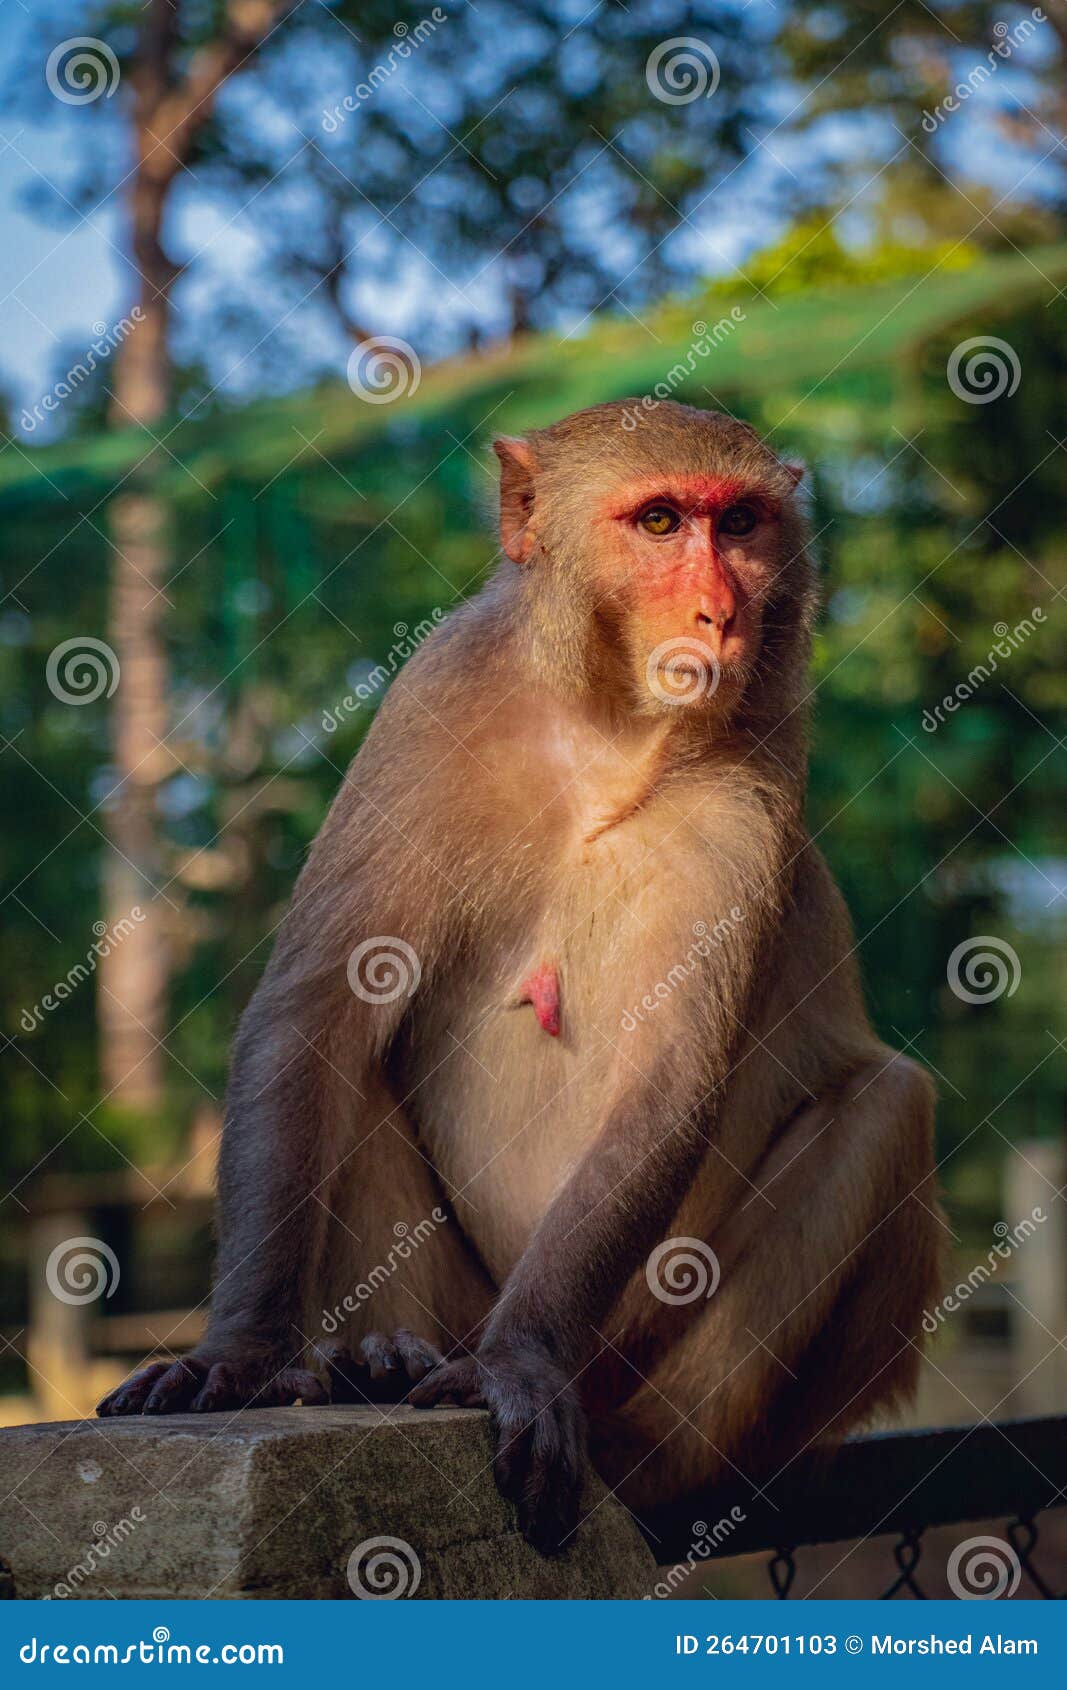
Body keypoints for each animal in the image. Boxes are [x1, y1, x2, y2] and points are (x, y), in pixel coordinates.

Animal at [99, 400, 943, 1557]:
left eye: (741, 525)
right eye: (660, 520)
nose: (720, 612)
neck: (604, 733)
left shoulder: (755, 773)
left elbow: (667, 1082)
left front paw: (519, 1366)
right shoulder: (436, 697)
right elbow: (318, 1009)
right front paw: (241, 1353)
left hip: (652, 1353)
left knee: (888, 1103)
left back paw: (632, 1453)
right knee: (354, 1070)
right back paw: (384, 1360)